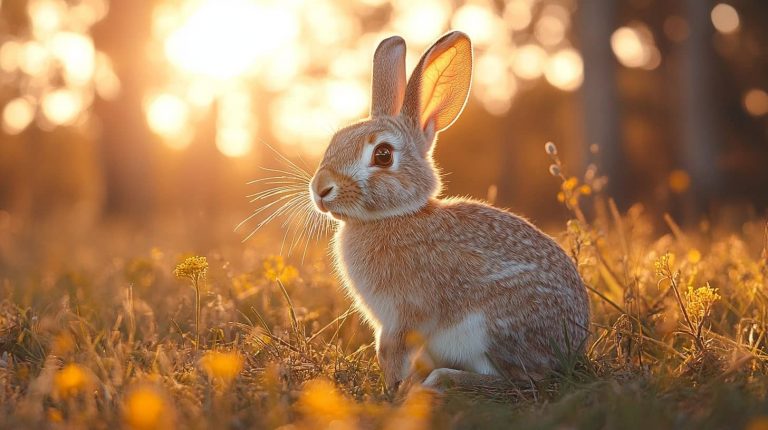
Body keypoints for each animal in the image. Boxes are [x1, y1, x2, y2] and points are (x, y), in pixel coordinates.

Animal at [309, 31, 590, 391]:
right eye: (335, 141)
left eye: (383, 155)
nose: (320, 189)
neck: (396, 216)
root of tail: (574, 347)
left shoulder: (406, 313)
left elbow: (391, 348)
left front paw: (394, 389)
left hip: (491, 329)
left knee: (522, 381)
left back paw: (439, 382)